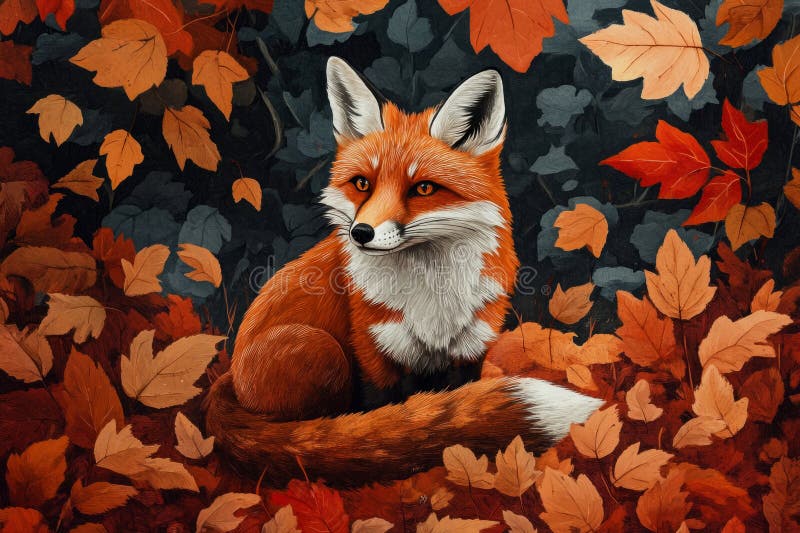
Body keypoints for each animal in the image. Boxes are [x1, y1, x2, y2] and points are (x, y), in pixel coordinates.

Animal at [204, 57, 602, 486]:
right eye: (362, 184)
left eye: (423, 189)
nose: (360, 233)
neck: (433, 294)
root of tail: (231, 376)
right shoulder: (373, 352)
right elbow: (377, 425)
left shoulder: (470, 350)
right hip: (321, 348)